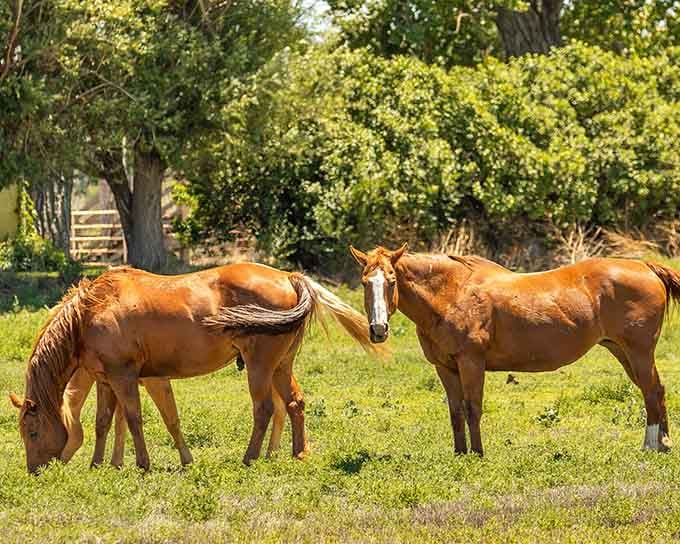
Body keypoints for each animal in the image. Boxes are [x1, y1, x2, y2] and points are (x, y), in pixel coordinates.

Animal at [10, 263, 379, 473]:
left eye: (32, 432)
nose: (34, 471)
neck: (92, 309)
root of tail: (290, 277)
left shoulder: (124, 377)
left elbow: (134, 419)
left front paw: (142, 465)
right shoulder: (106, 380)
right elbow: (103, 423)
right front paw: (99, 465)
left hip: (259, 366)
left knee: (263, 410)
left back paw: (250, 458)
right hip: (281, 366)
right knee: (294, 404)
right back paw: (298, 454)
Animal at [350, 243, 680, 456]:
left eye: (391, 281)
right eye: (365, 282)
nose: (378, 329)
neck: (452, 294)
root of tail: (645, 266)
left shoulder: (471, 363)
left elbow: (472, 408)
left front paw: (477, 453)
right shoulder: (445, 368)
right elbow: (455, 411)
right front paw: (459, 453)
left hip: (638, 352)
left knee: (650, 391)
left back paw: (650, 445)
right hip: (622, 351)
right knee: (657, 390)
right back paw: (664, 444)